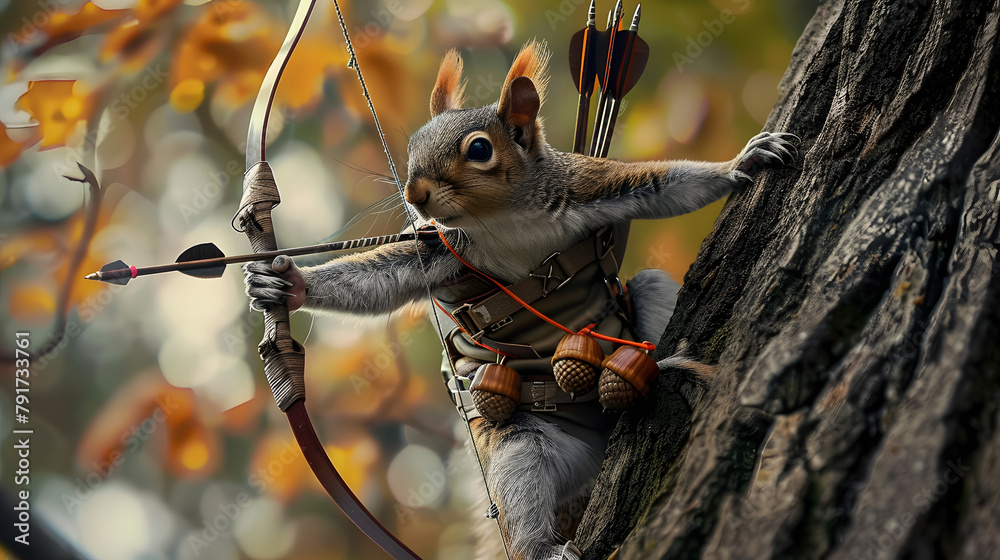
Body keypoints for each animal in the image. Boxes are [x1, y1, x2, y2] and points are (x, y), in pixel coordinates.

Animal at [244, 40, 796, 560]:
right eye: (414, 145)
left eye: (479, 149)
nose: (415, 195)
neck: (502, 220)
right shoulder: (440, 250)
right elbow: (377, 281)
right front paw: (290, 285)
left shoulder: (586, 188)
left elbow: (670, 185)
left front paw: (742, 162)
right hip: (529, 442)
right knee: (523, 473)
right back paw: (543, 548)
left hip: (645, 300)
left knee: (650, 291)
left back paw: (662, 365)